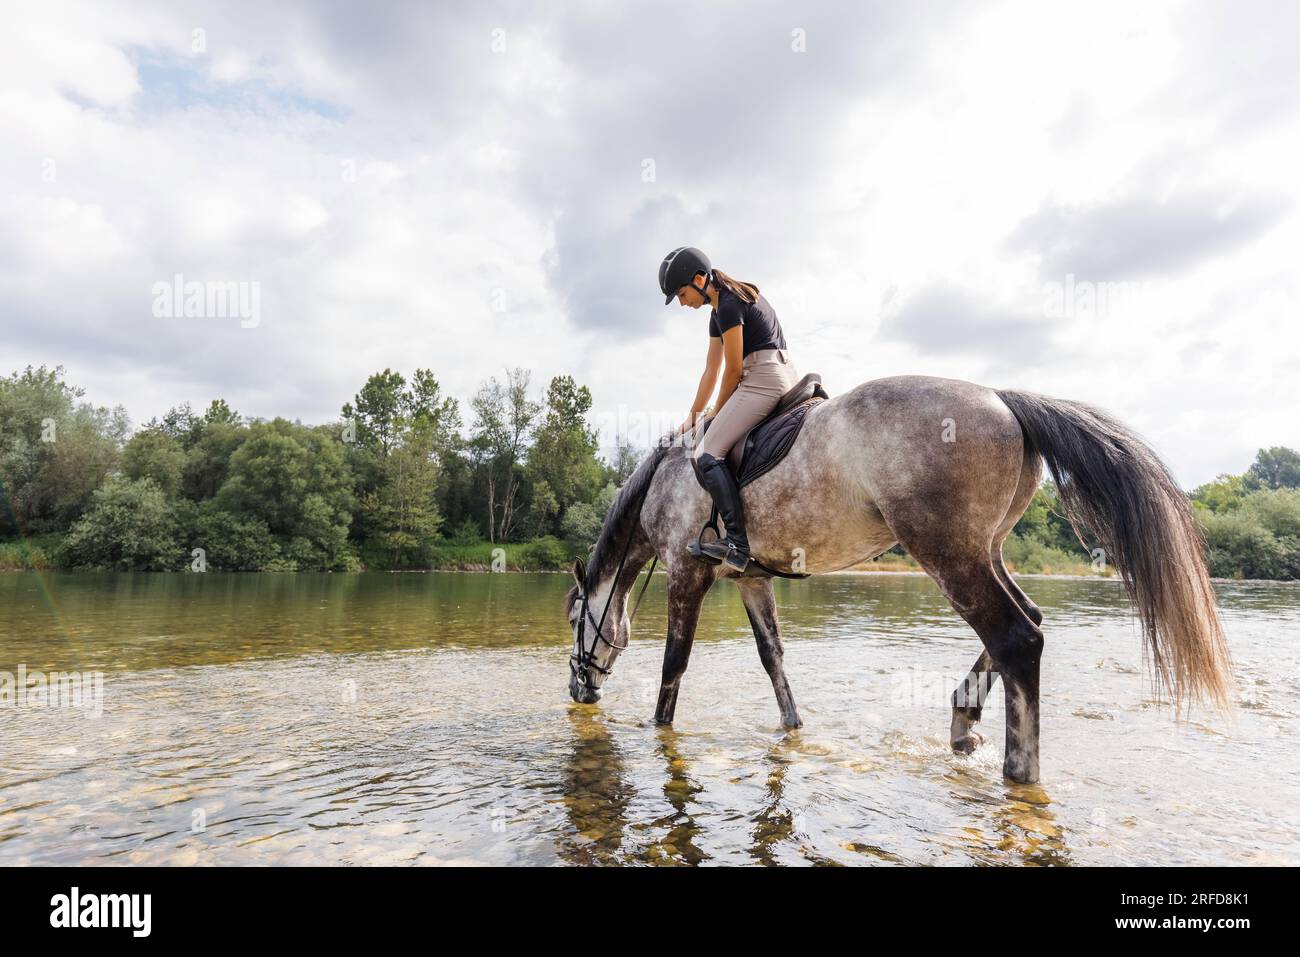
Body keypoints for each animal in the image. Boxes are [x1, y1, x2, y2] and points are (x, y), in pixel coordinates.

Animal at [564, 374, 1233, 784]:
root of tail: (1002, 399)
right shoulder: (751, 579)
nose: (578, 691)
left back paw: (1018, 771)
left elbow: (674, 662)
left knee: (1016, 637)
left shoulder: (687, 571)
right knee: (1027, 622)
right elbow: (773, 657)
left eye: (575, 619)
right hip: (984, 550)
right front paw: (793, 728)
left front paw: (657, 730)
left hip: (945, 552)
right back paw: (964, 722)